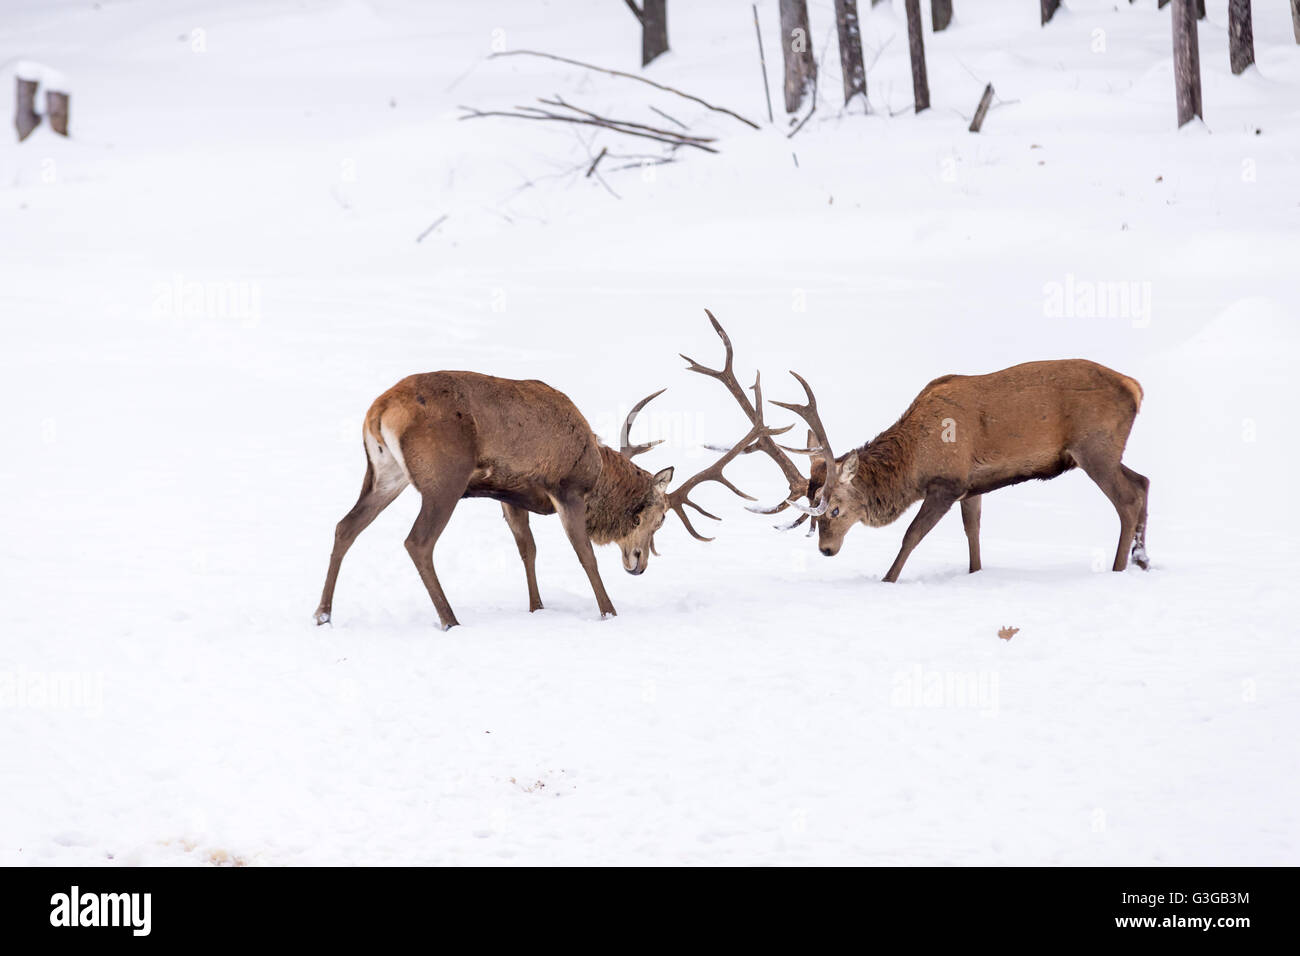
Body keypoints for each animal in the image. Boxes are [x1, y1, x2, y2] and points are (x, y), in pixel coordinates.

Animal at [313, 369, 788, 629]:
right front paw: (609, 611)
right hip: (443, 479)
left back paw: (323, 614)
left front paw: (537, 608)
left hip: (384, 474)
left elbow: (528, 549)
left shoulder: (511, 494)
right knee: (418, 541)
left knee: (345, 525)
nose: (638, 564)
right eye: (657, 519)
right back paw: (450, 619)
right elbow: (584, 554)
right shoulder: (566, 488)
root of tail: (379, 410)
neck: (597, 472)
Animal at [682, 311, 1150, 583]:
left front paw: (888, 579)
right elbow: (973, 532)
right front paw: (974, 574)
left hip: (1094, 446)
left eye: (833, 510)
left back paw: (1119, 569)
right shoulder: (972, 485)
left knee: (1128, 497)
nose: (826, 551)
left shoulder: (946, 482)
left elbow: (910, 535)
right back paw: (1143, 560)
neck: (913, 462)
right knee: (1144, 480)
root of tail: (1135, 387)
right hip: (1108, 450)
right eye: (812, 512)